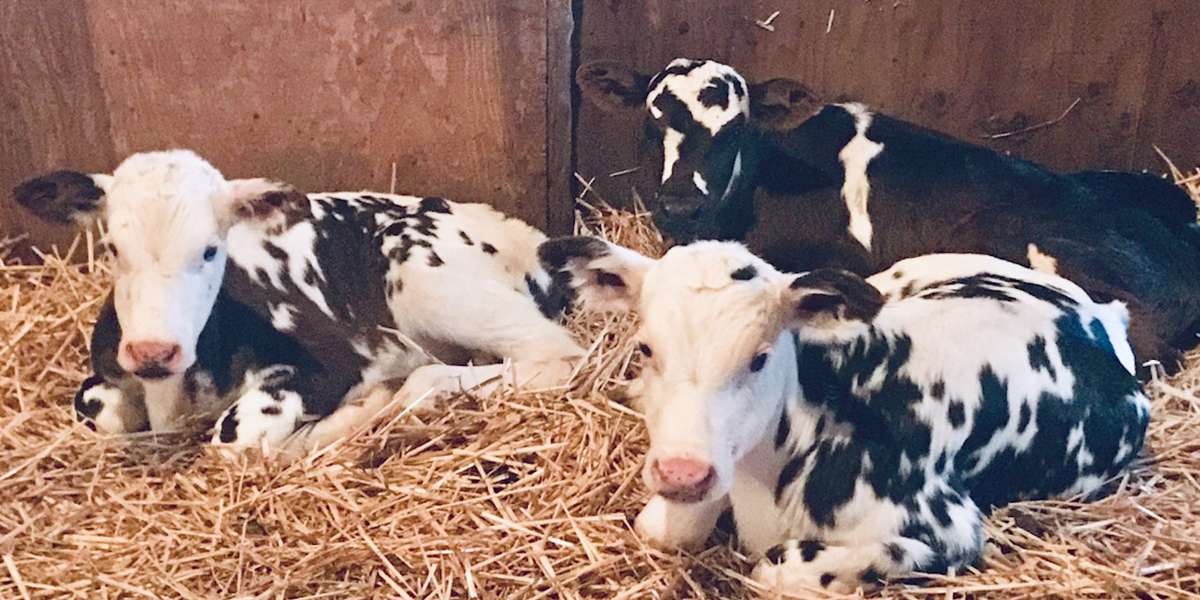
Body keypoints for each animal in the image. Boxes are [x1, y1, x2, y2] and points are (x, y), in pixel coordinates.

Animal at [16, 149, 585, 457]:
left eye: (211, 249)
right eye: (113, 247)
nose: (154, 351)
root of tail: (526, 236)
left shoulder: (345, 357)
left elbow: (238, 440)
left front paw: (345, 419)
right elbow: (97, 408)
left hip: (423, 276)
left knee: (557, 356)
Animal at [539, 235, 1149, 594]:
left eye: (760, 357)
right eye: (645, 348)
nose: (682, 474)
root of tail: (1100, 313)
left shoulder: (951, 527)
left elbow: (777, 570)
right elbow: (662, 529)